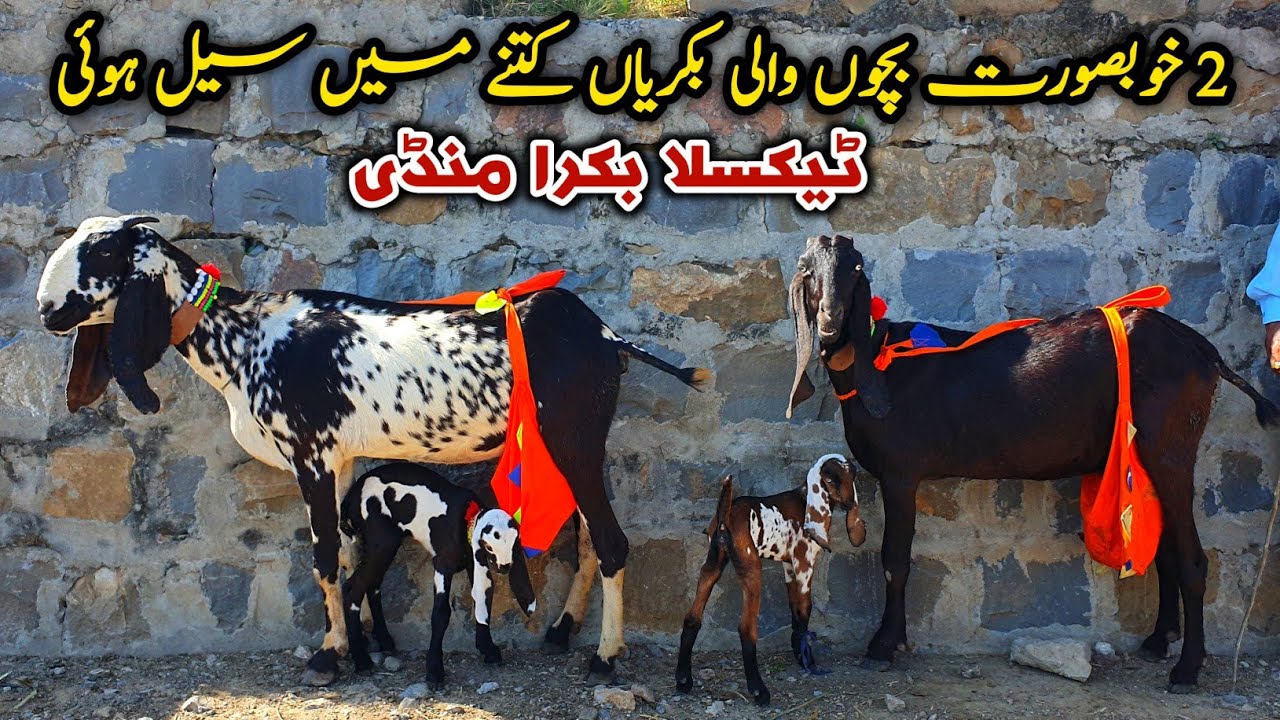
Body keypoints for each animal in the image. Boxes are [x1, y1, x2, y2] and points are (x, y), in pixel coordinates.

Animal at [338, 462, 536, 689]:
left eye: (514, 544)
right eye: (488, 545)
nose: (504, 566)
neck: (465, 521)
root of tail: (352, 494)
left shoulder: (474, 562)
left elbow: (482, 599)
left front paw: (488, 649)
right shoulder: (443, 563)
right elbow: (441, 614)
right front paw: (434, 671)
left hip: (384, 545)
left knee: (373, 585)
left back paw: (385, 640)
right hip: (382, 541)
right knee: (353, 588)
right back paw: (362, 660)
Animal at [675, 454, 866, 706]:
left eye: (848, 475)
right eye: (829, 479)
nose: (849, 503)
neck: (804, 499)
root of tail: (725, 517)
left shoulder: (789, 568)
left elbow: (796, 612)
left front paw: (799, 654)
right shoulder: (804, 565)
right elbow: (805, 611)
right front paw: (808, 660)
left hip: (711, 567)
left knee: (692, 619)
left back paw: (683, 680)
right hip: (752, 570)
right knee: (747, 629)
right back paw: (759, 691)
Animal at [785, 233, 1280, 693]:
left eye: (855, 271)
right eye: (807, 270)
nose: (828, 322)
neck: (879, 364)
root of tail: (1203, 351)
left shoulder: (900, 474)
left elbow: (895, 558)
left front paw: (884, 646)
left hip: (1170, 449)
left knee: (1193, 559)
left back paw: (1187, 669)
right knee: (1167, 549)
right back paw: (1159, 642)